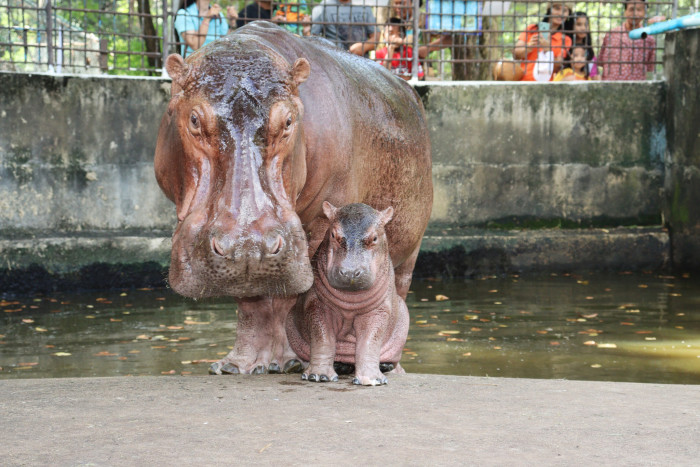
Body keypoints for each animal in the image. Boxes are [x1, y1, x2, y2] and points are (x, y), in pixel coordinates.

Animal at [287, 202, 409, 385]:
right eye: (333, 234)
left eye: (375, 238)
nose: (350, 272)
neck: (350, 302)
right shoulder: (317, 305)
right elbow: (323, 339)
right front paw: (318, 376)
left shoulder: (378, 311)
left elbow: (369, 342)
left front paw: (371, 380)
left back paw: (383, 366)